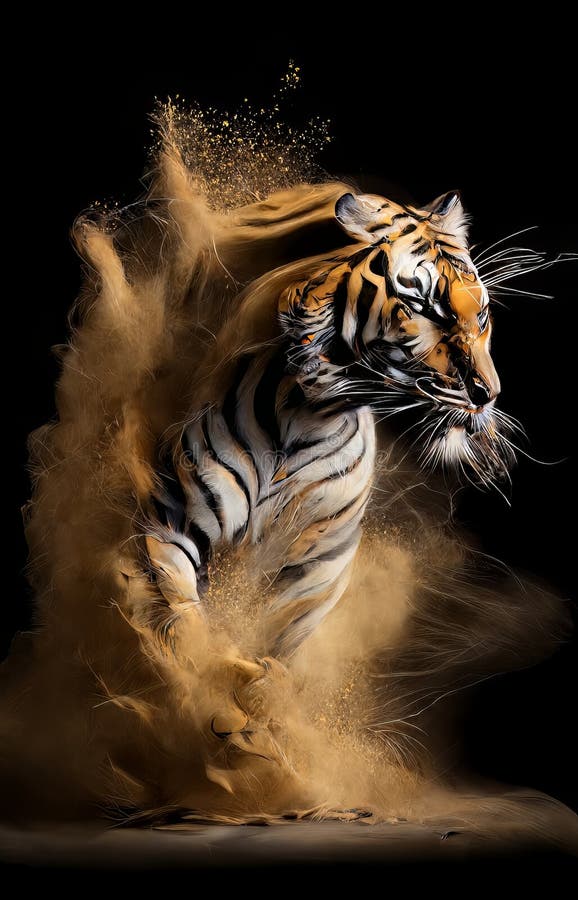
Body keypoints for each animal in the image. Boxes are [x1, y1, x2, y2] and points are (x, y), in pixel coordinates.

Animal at [146, 189, 509, 659]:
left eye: (480, 315)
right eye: (425, 308)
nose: (488, 393)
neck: (307, 414)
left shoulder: (321, 563)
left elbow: (276, 642)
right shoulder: (174, 518)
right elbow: (184, 614)